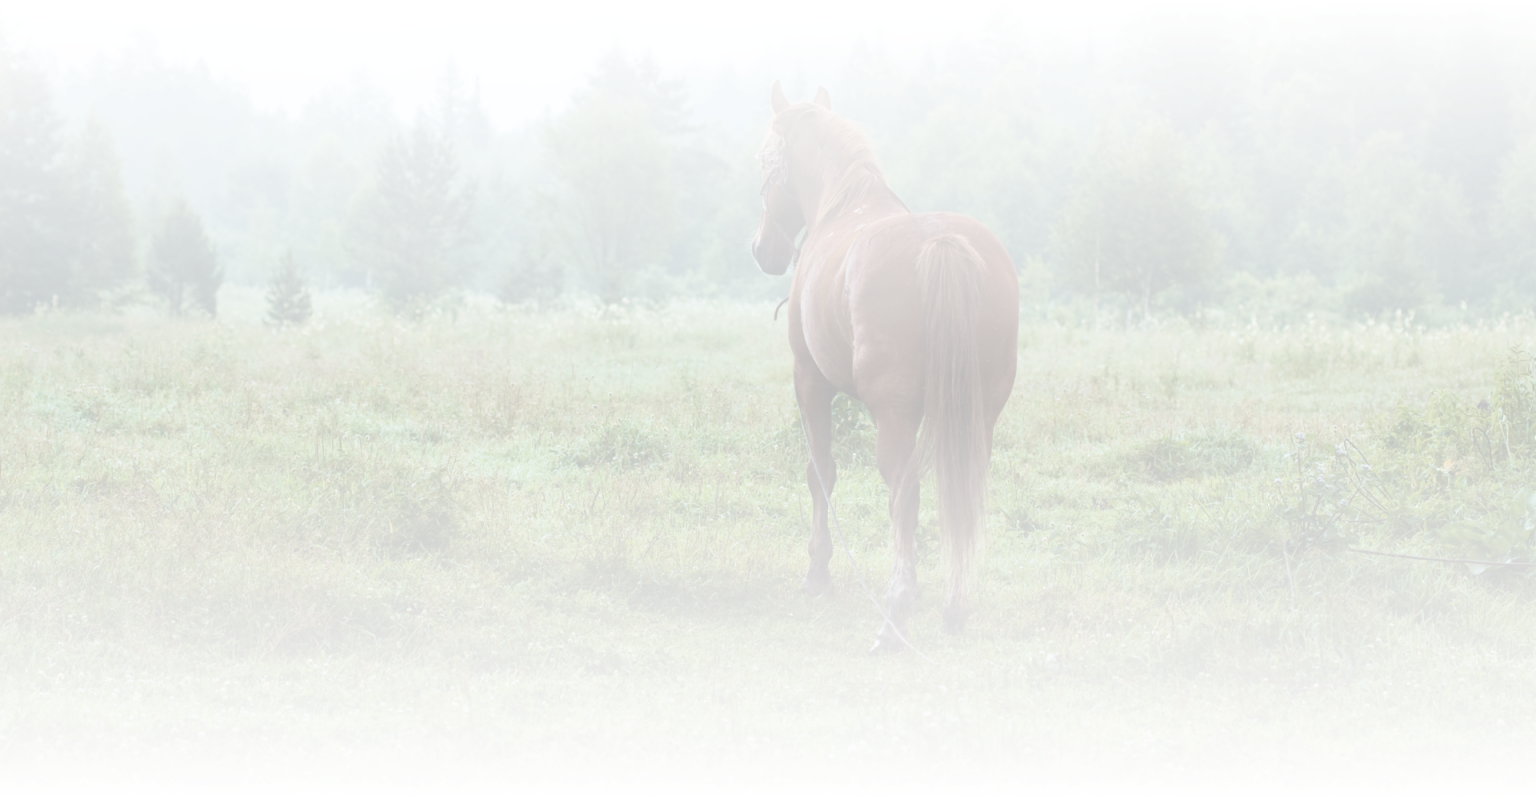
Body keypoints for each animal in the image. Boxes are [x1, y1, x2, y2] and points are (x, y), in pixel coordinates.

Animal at [751, 81, 1019, 654]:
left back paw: (895, 616)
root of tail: (942, 244)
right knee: (962, 492)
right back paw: (954, 606)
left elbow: (821, 471)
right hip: (981, 413)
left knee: (905, 493)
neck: (842, 206)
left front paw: (818, 572)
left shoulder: (808, 381)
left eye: (764, 161)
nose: (764, 249)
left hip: (893, 415)